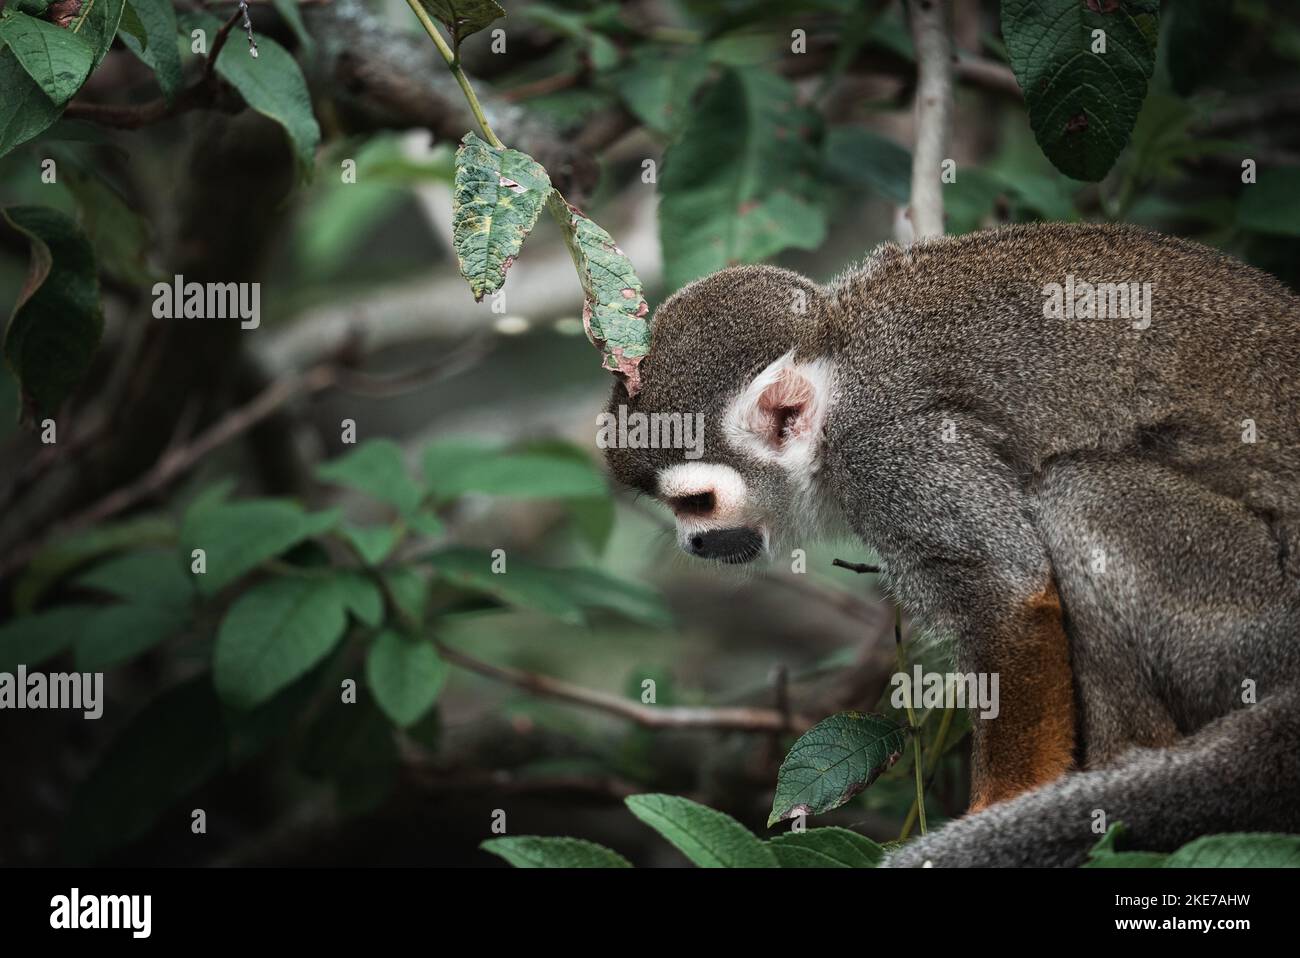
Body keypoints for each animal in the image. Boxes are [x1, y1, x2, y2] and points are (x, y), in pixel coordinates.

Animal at [600, 222, 1300, 867]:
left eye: (696, 503)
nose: (693, 543)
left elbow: (1008, 593)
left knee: (1077, 492)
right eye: (676, 511)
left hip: (1246, 616)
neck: (838, 366)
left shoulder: (894, 448)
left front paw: (1003, 802)